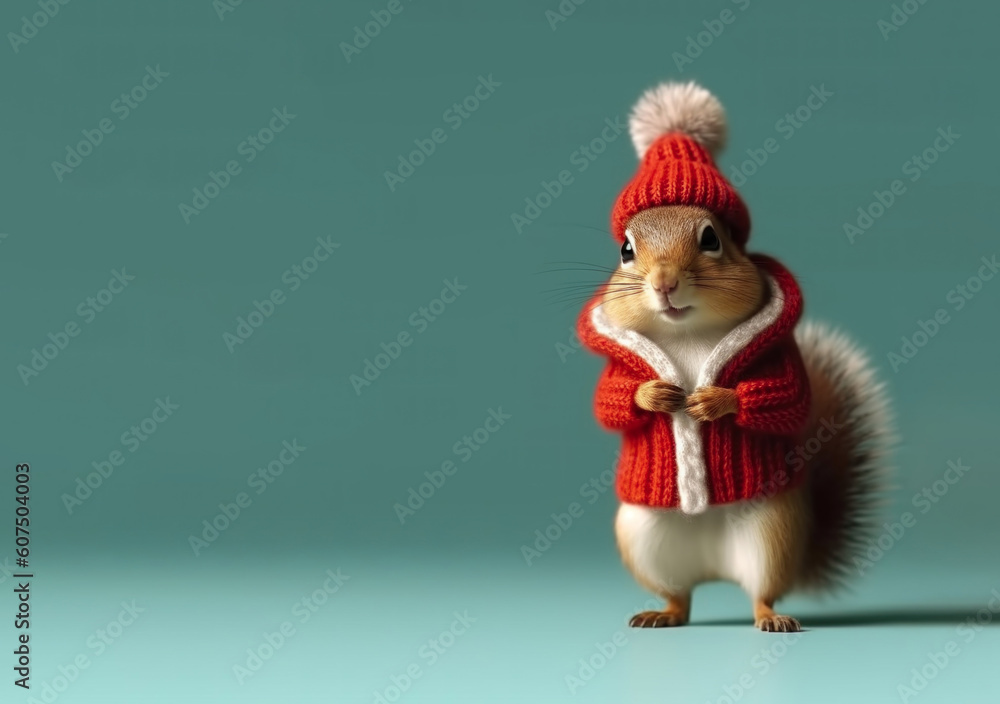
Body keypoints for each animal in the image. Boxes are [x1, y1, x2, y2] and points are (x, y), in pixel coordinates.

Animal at [577, 81, 894, 633]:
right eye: (625, 250)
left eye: (711, 238)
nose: (664, 282)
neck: (686, 332)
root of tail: (713, 568)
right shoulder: (617, 371)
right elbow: (610, 401)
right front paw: (652, 395)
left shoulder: (780, 361)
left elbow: (787, 398)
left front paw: (714, 401)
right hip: (646, 539)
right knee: (680, 597)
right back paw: (662, 613)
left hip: (770, 535)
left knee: (761, 592)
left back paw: (771, 617)